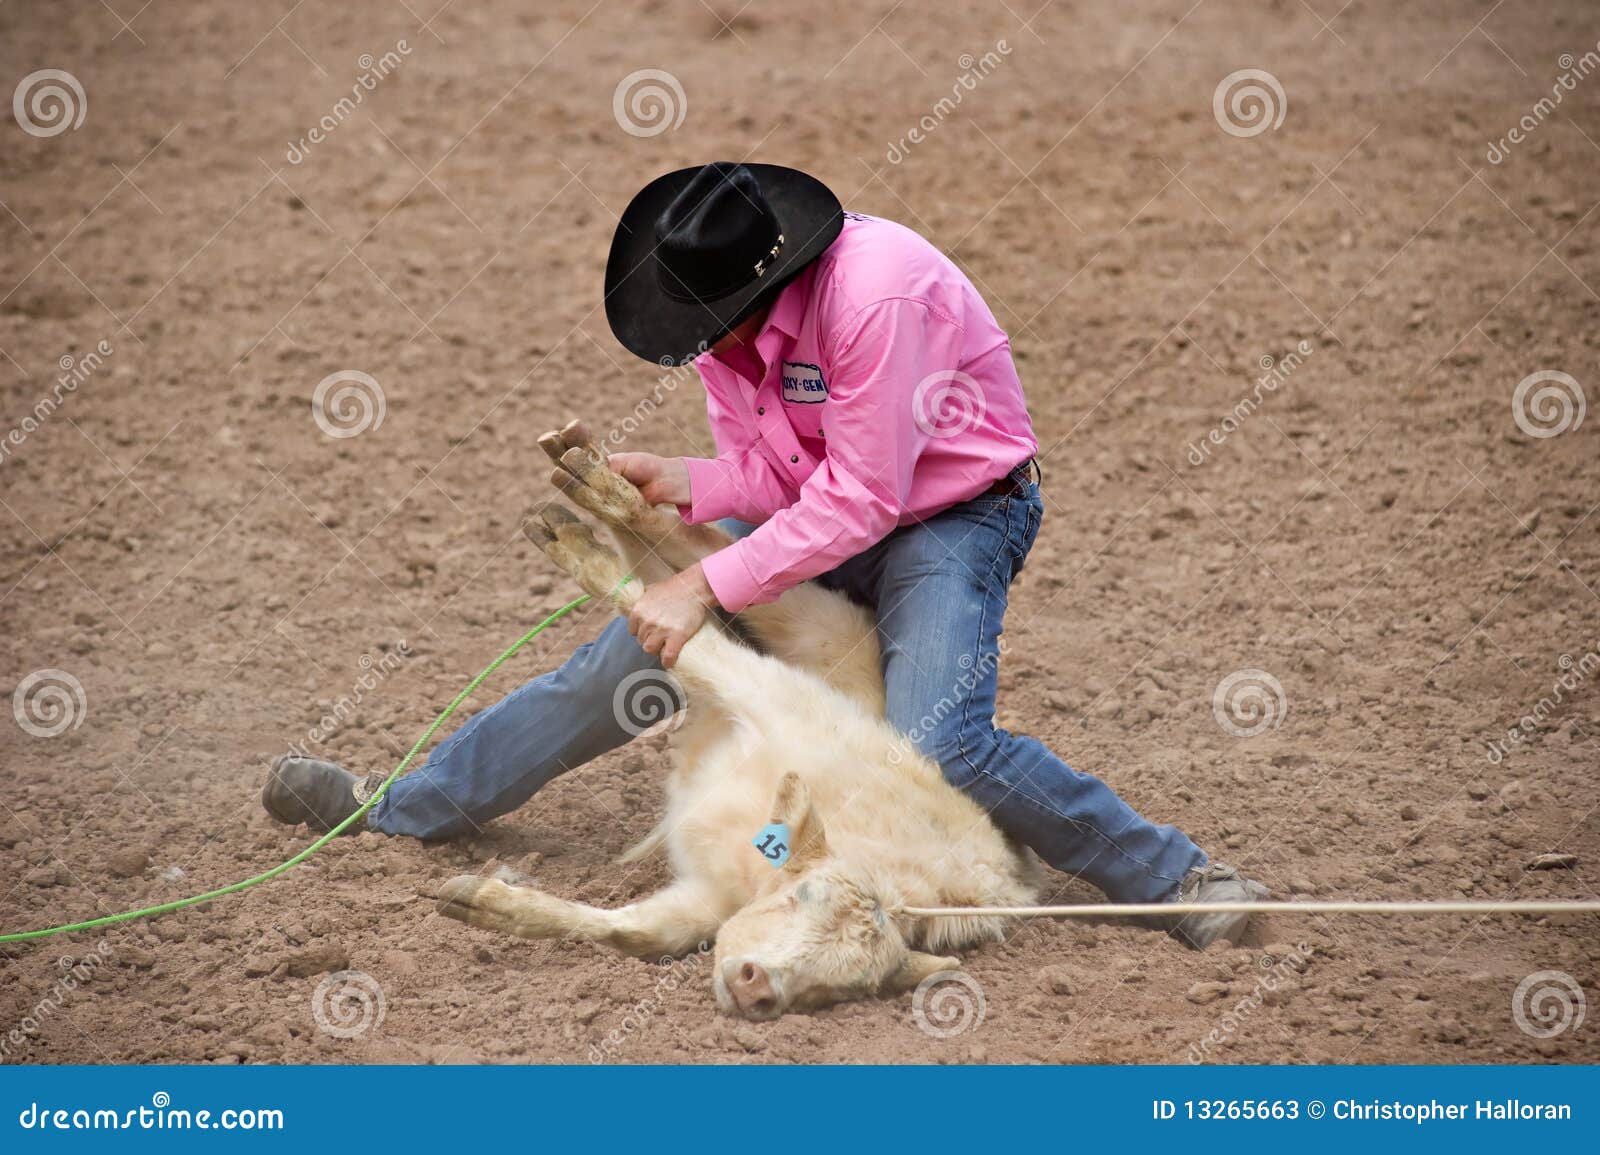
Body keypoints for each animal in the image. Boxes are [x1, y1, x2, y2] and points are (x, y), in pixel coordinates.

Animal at [432, 421, 1040, 1018]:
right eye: (803, 895)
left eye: (849, 985)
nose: (756, 987)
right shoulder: (764, 693)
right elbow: (694, 642)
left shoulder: (708, 901)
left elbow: (635, 934)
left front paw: (482, 902)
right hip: (800, 620)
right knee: (702, 562)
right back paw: (592, 500)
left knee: (687, 572)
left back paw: (582, 506)